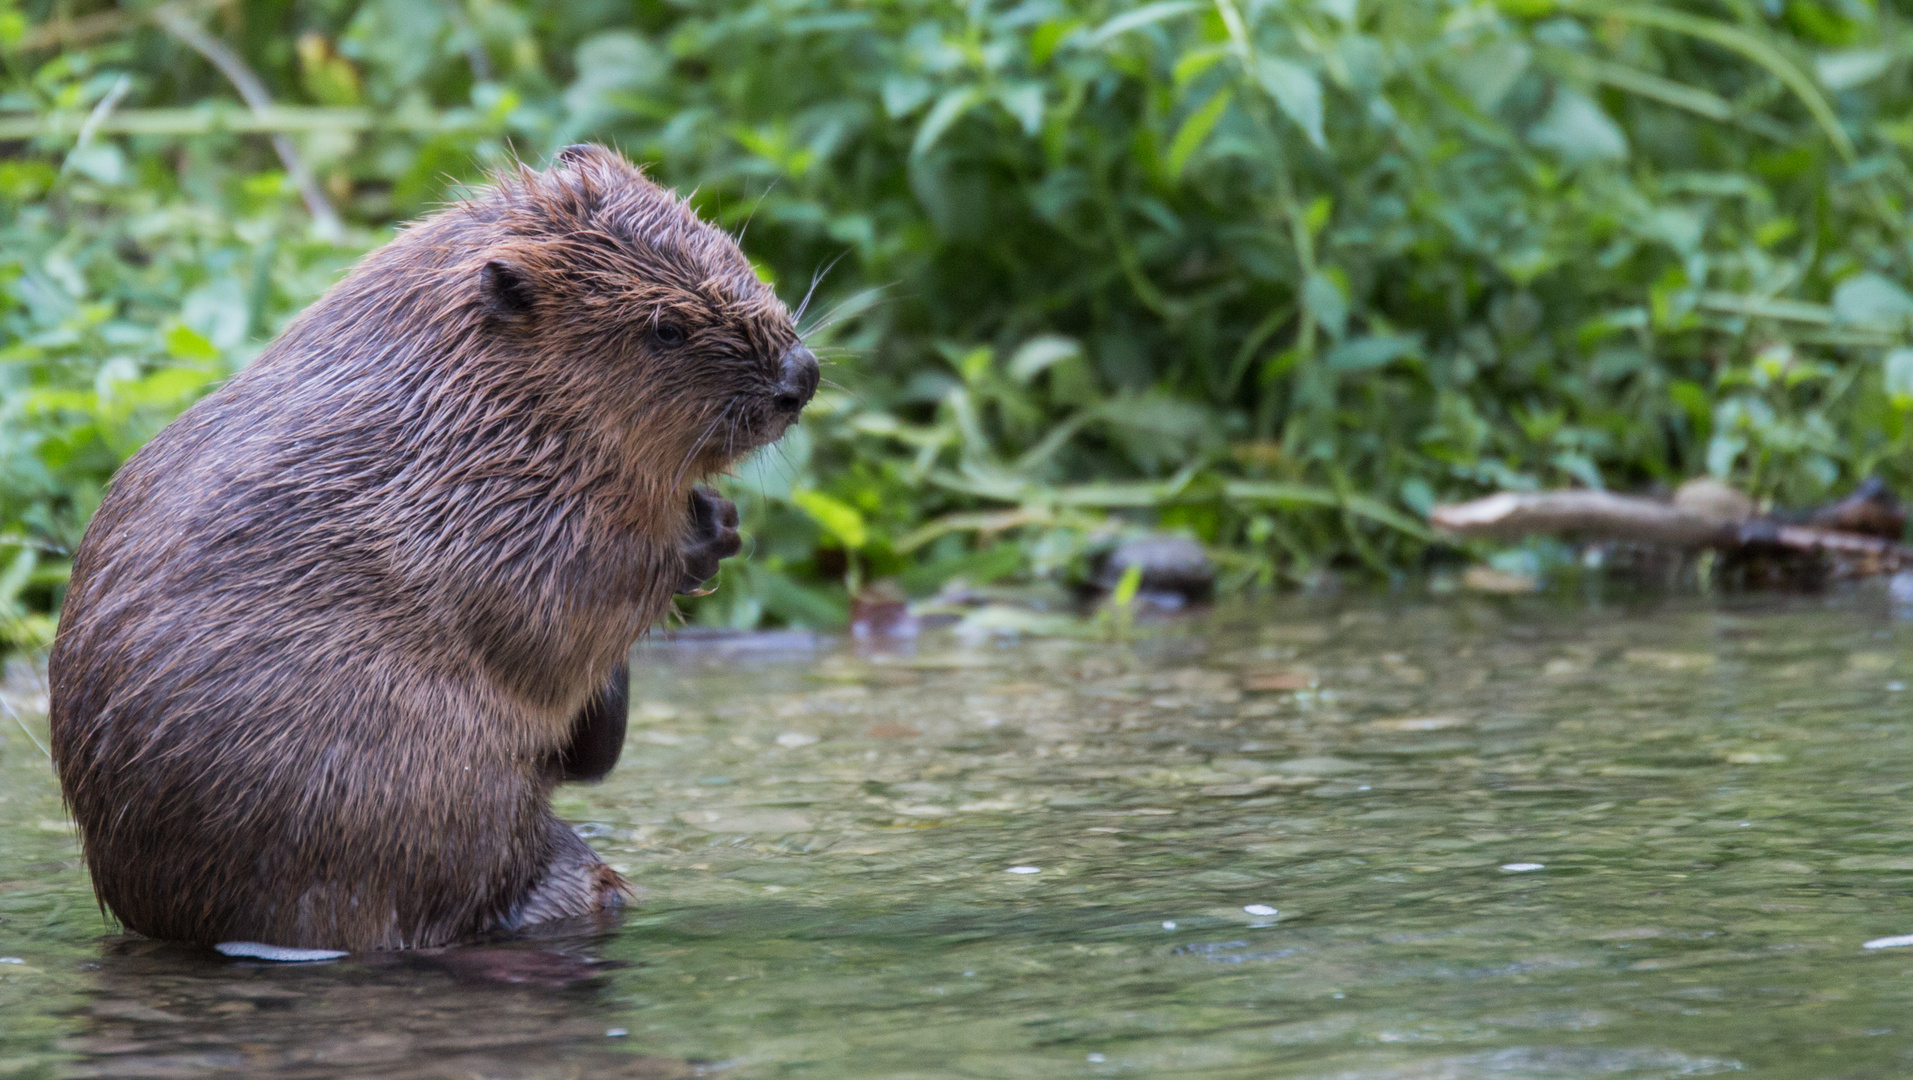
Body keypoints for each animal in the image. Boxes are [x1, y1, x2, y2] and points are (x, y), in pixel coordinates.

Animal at [44, 143, 807, 951]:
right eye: (665, 330)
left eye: (729, 246)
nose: (802, 376)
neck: (459, 391)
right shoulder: (471, 506)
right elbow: (558, 598)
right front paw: (704, 532)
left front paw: (718, 515)